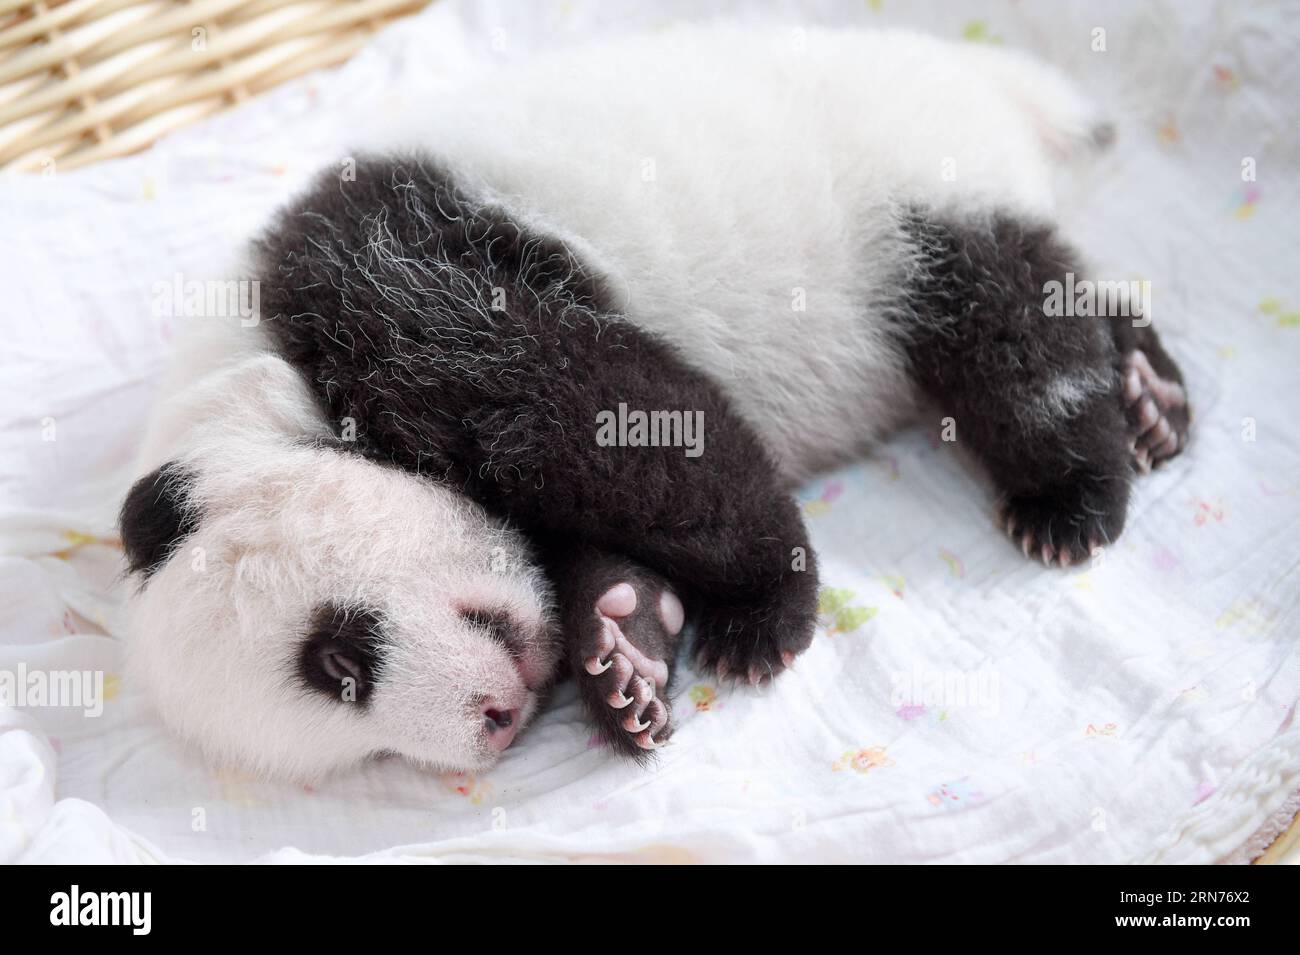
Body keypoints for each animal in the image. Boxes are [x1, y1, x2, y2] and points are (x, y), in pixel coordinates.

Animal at [119, 26, 1190, 781]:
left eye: (341, 659)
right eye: (364, 737)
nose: (492, 722)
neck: (256, 356)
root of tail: (993, 82)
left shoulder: (382, 275)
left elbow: (599, 410)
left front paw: (763, 605)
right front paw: (625, 650)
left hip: (914, 182)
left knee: (1005, 317)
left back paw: (1074, 488)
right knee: (1062, 285)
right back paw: (1148, 392)